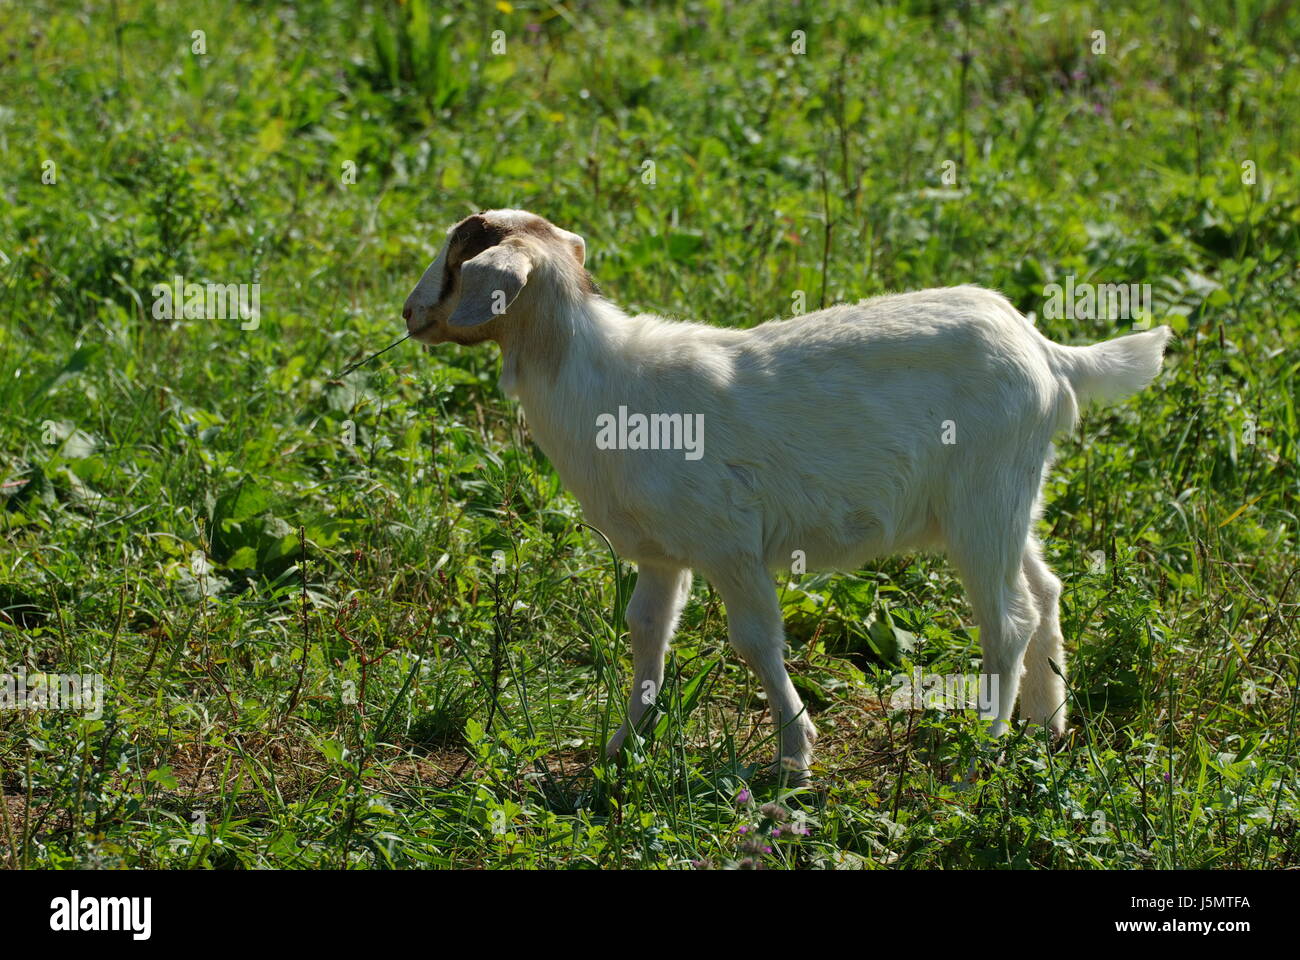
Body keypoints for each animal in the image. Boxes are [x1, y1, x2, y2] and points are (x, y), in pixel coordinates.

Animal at [402, 208, 1172, 780]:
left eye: (456, 260)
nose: (409, 314)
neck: (599, 380)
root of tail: (1048, 353)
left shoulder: (730, 545)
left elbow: (756, 641)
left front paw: (795, 757)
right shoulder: (661, 554)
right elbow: (646, 632)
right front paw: (625, 746)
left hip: (984, 500)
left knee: (1008, 617)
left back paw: (983, 744)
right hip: (1006, 498)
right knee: (1044, 590)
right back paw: (1046, 723)